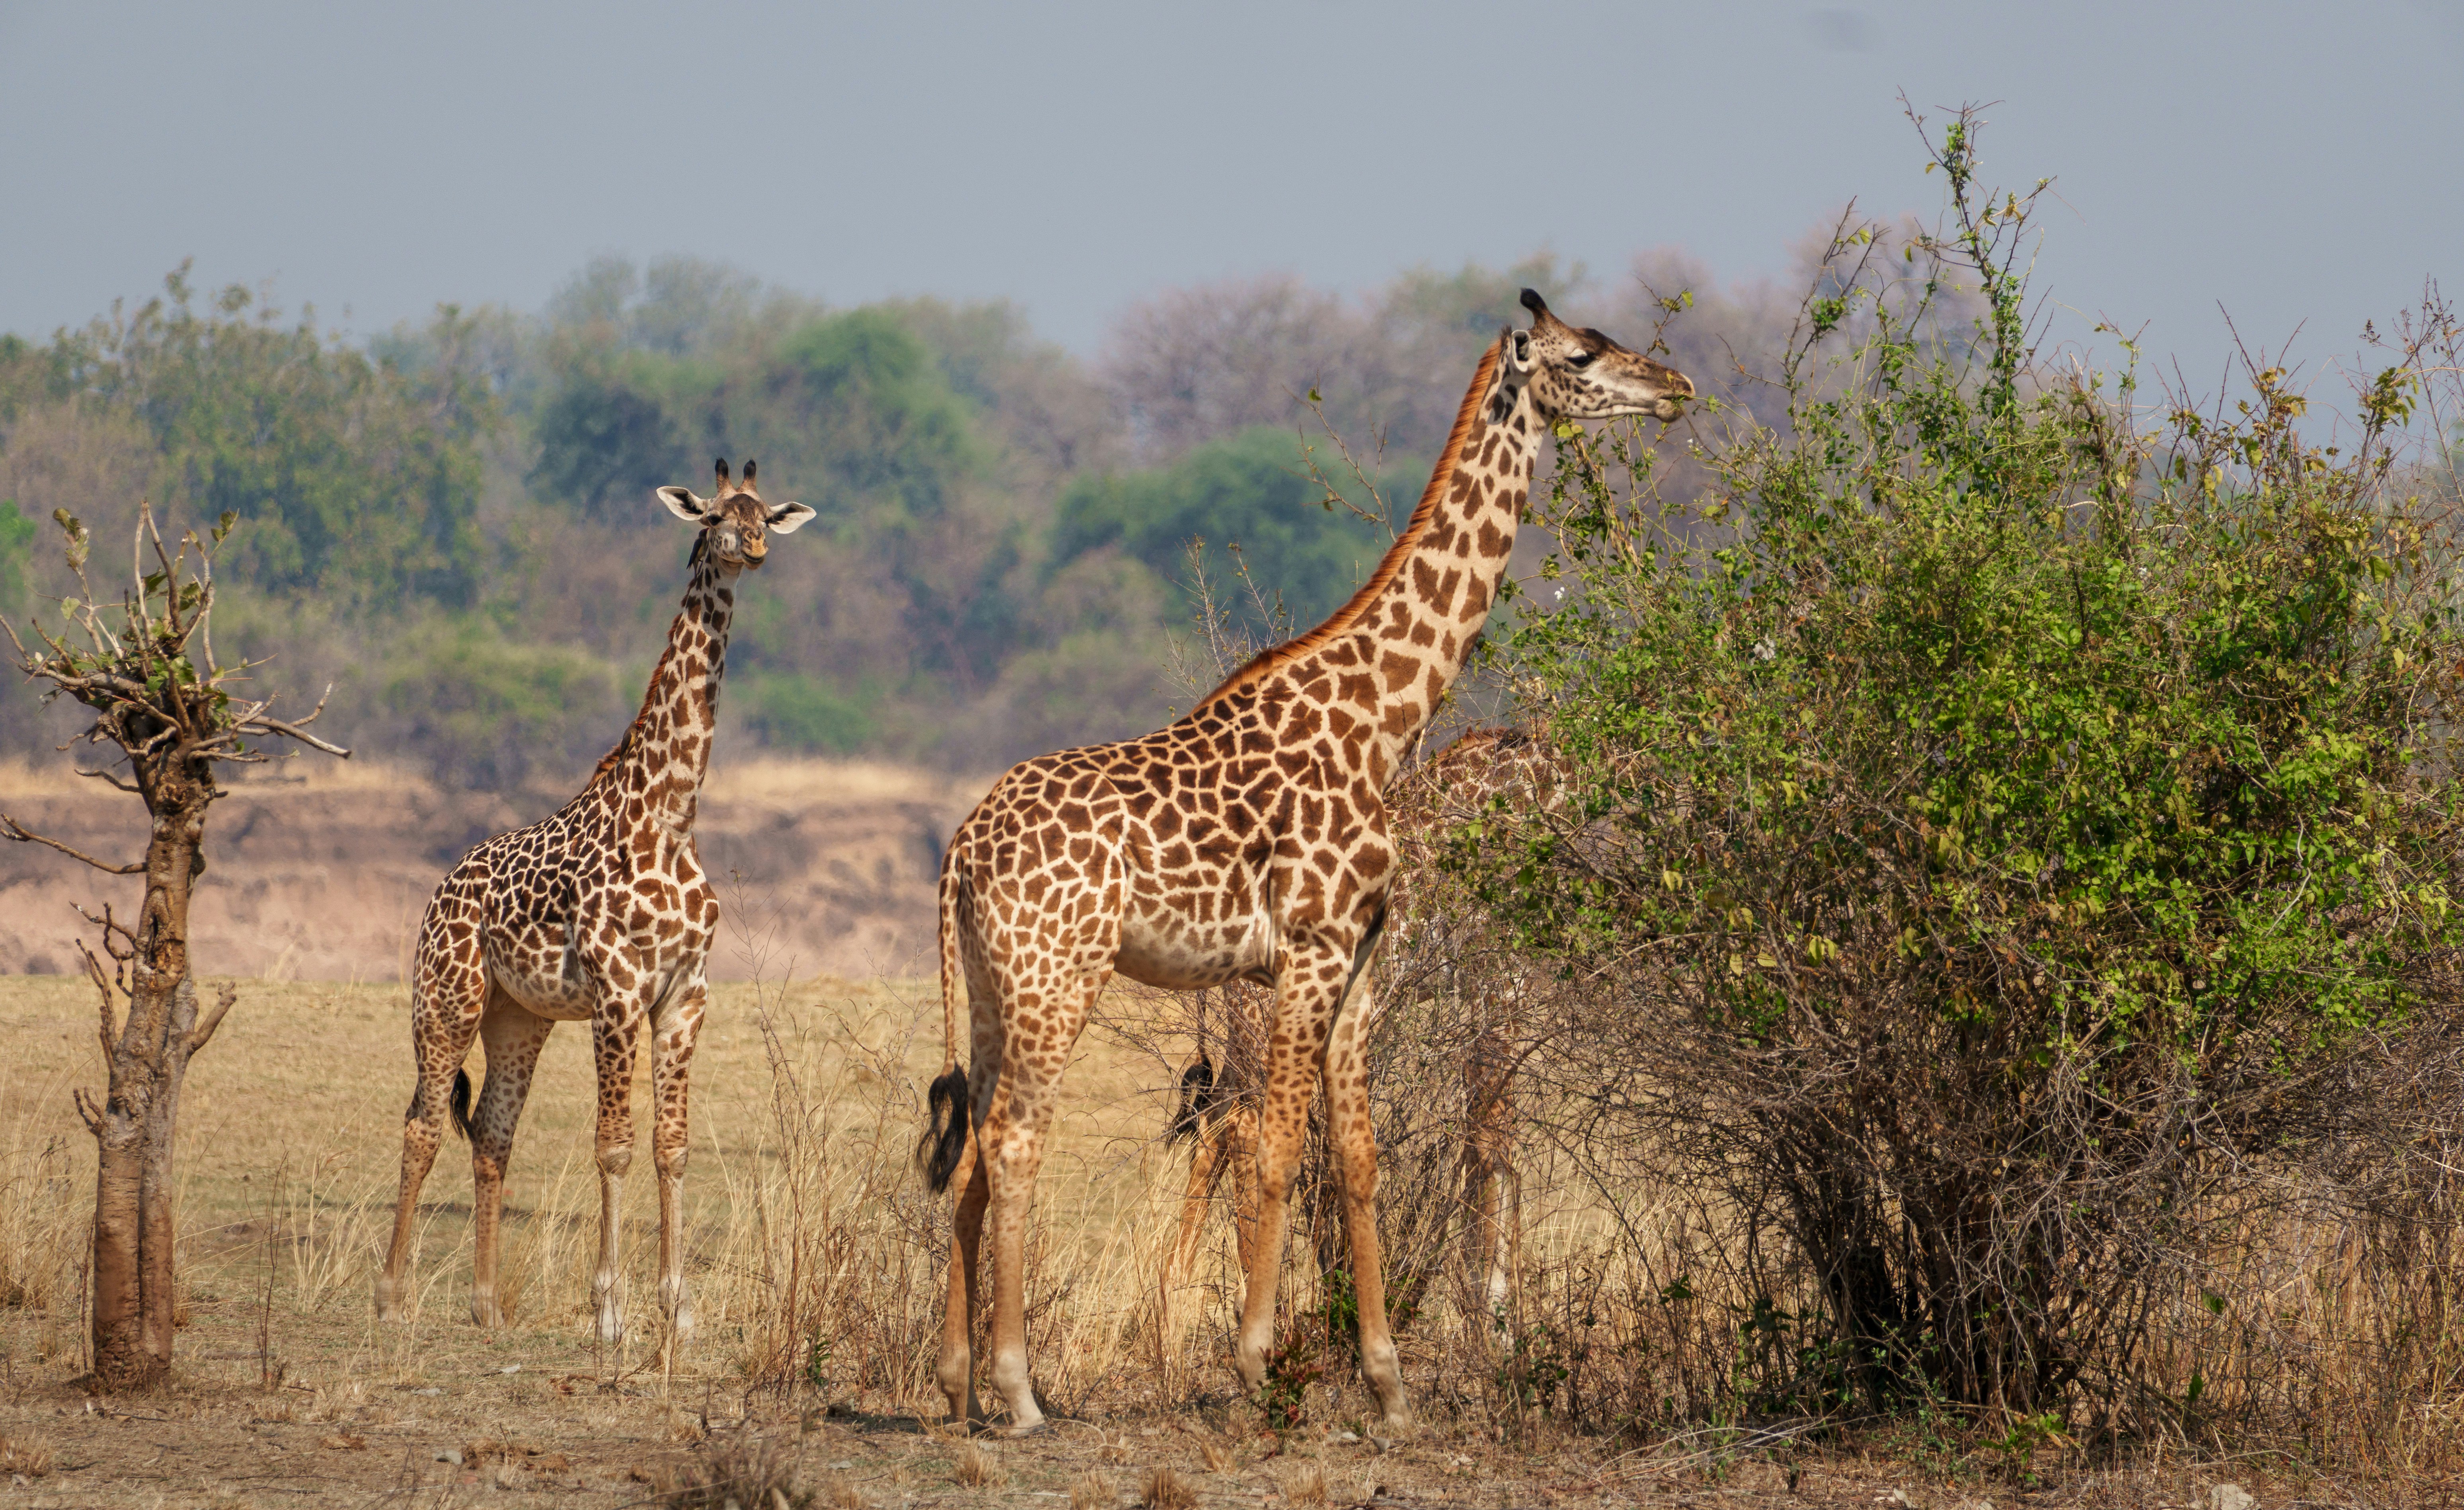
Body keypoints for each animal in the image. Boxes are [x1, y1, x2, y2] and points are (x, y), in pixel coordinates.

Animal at [375, 459, 813, 1345]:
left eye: (762, 511)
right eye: (714, 513)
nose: (751, 547)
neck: (672, 815)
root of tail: (440, 890)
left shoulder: (685, 994)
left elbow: (672, 1145)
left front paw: (677, 1306)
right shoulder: (617, 990)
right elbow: (614, 1144)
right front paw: (610, 1308)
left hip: (519, 1016)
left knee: (493, 1133)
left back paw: (486, 1305)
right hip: (446, 1000)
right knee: (424, 1122)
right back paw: (394, 1297)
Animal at [916, 291, 1692, 1434]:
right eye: (1585, 353)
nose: (1675, 385)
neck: (1384, 717)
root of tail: (962, 851)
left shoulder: (1360, 959)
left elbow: (1357, 1158)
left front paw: (1388, 1383)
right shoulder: (1315, 947)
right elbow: (1283, 1147)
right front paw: (1255, 1363)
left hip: (989, 978)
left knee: (972, 1145)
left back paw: (957, 1379)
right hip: (1060, 973)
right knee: (1016, 1137)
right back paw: (1019, 1389)